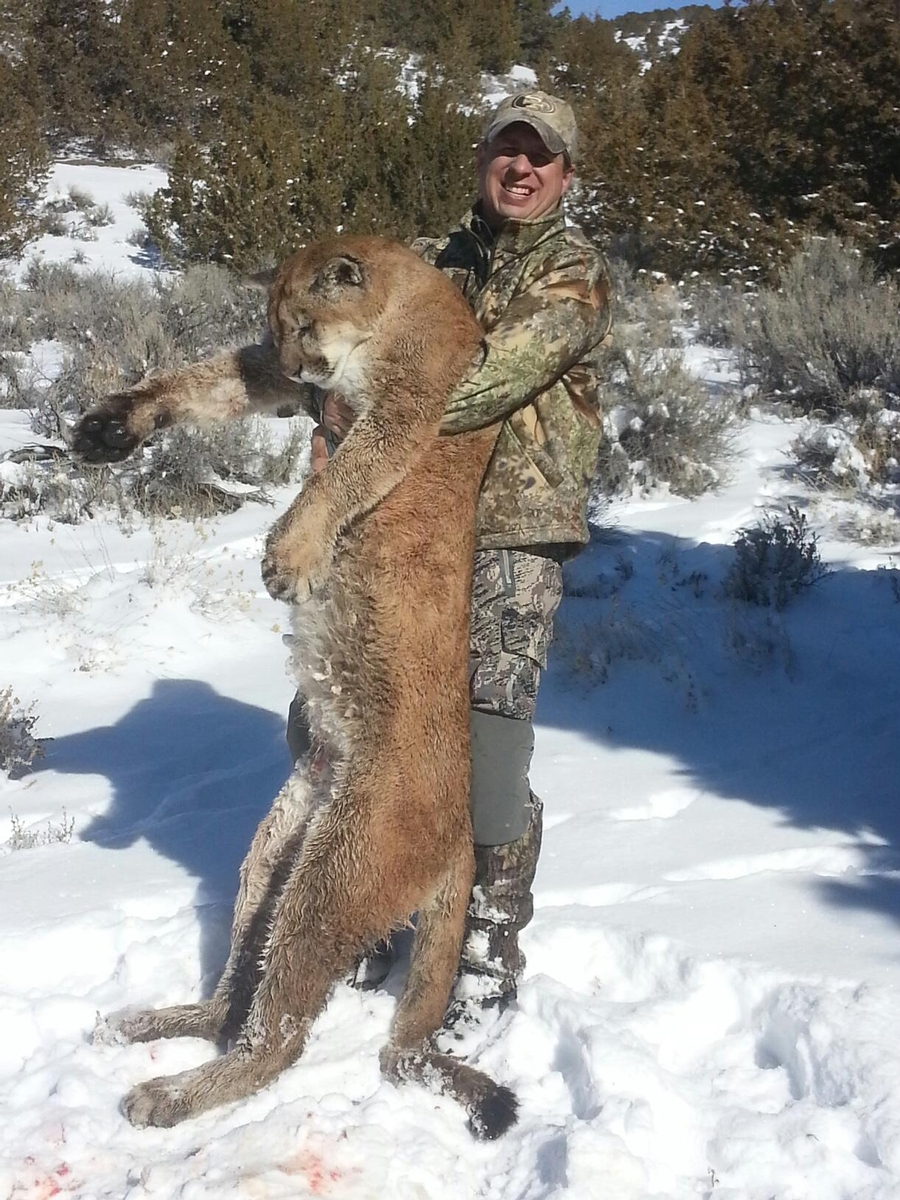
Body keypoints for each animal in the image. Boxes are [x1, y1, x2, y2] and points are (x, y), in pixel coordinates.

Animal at [74, 236, 514, 1139]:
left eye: (304, 322)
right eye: (276, 327)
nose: (297, 359)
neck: (407, 297)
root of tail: (461, 832)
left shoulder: (414, 401)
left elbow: (343, 475)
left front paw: (289, 553)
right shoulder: (293, 389)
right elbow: (203, 378)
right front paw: (111, 425)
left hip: (336, 872)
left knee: (277, 1040)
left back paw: (168, 1095)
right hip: (278, 849)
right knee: (238, 995)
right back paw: (157, 1026)